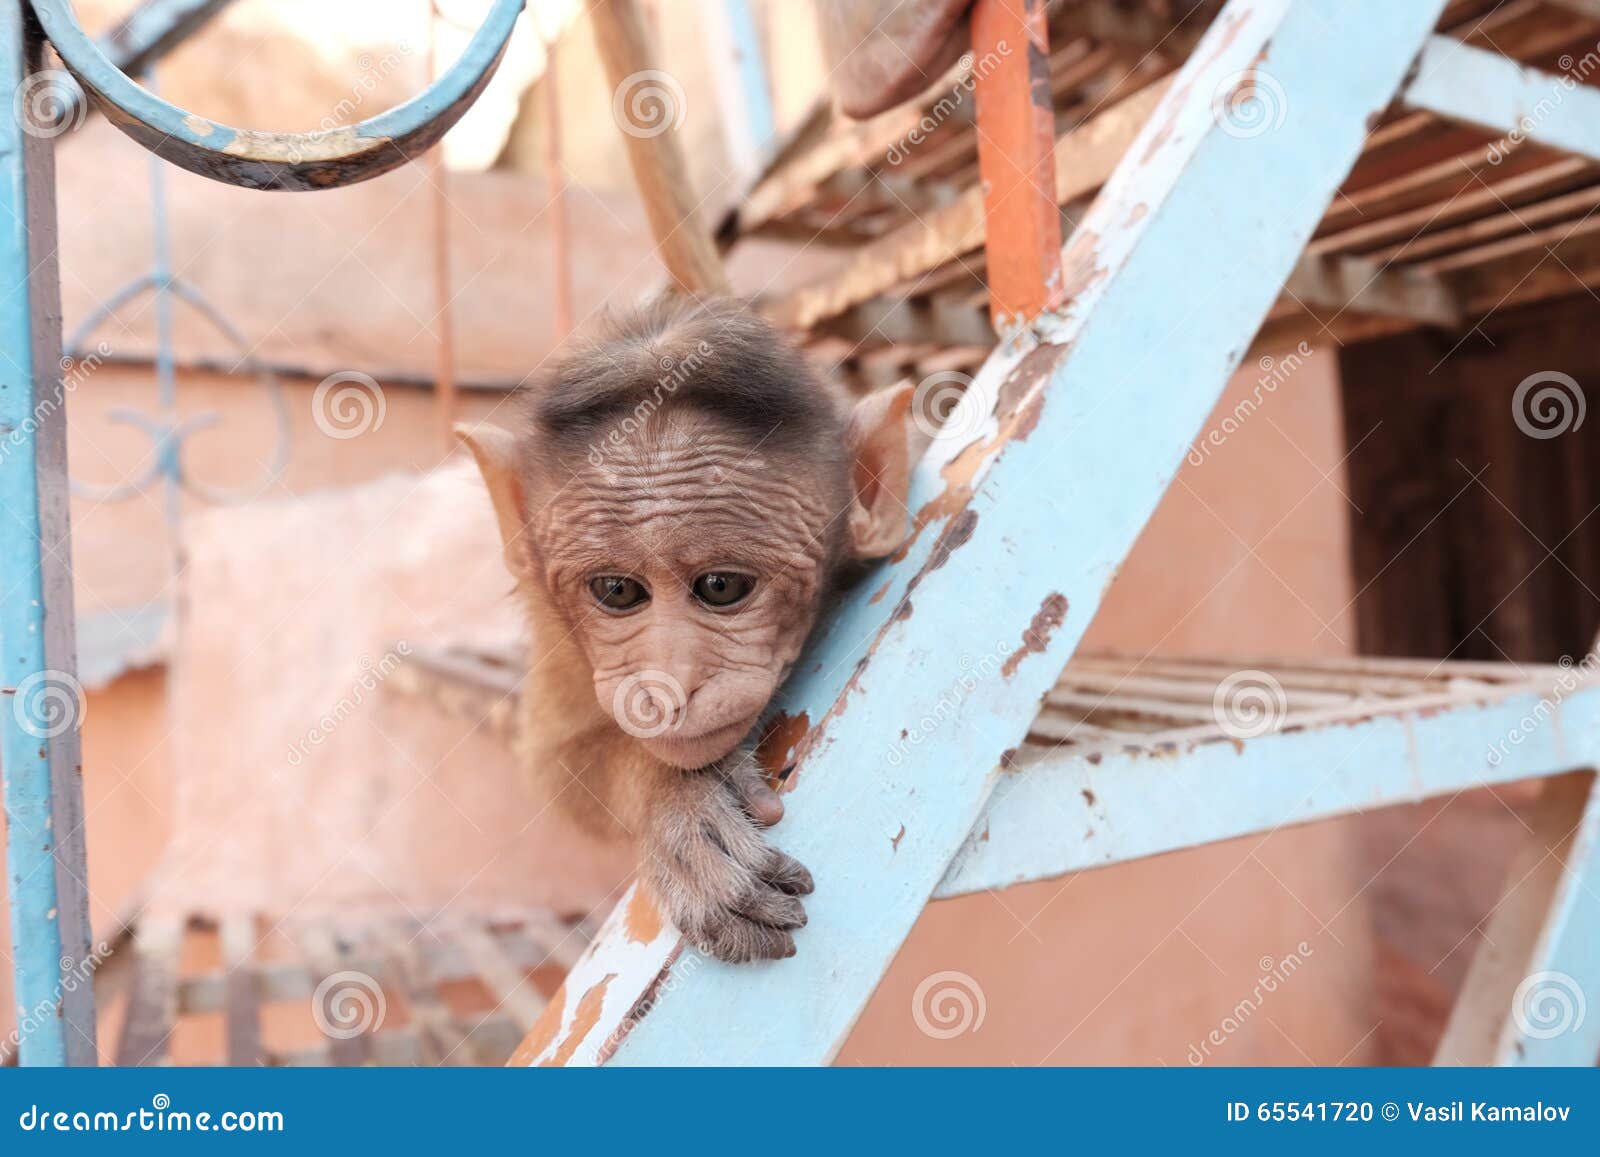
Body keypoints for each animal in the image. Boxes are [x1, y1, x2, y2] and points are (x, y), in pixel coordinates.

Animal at [457, 296, 926, 964]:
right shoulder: (554, 636)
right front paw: (674, 800)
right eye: (617, 590)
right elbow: (554, 760)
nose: (669, 687)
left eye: (722, 586)